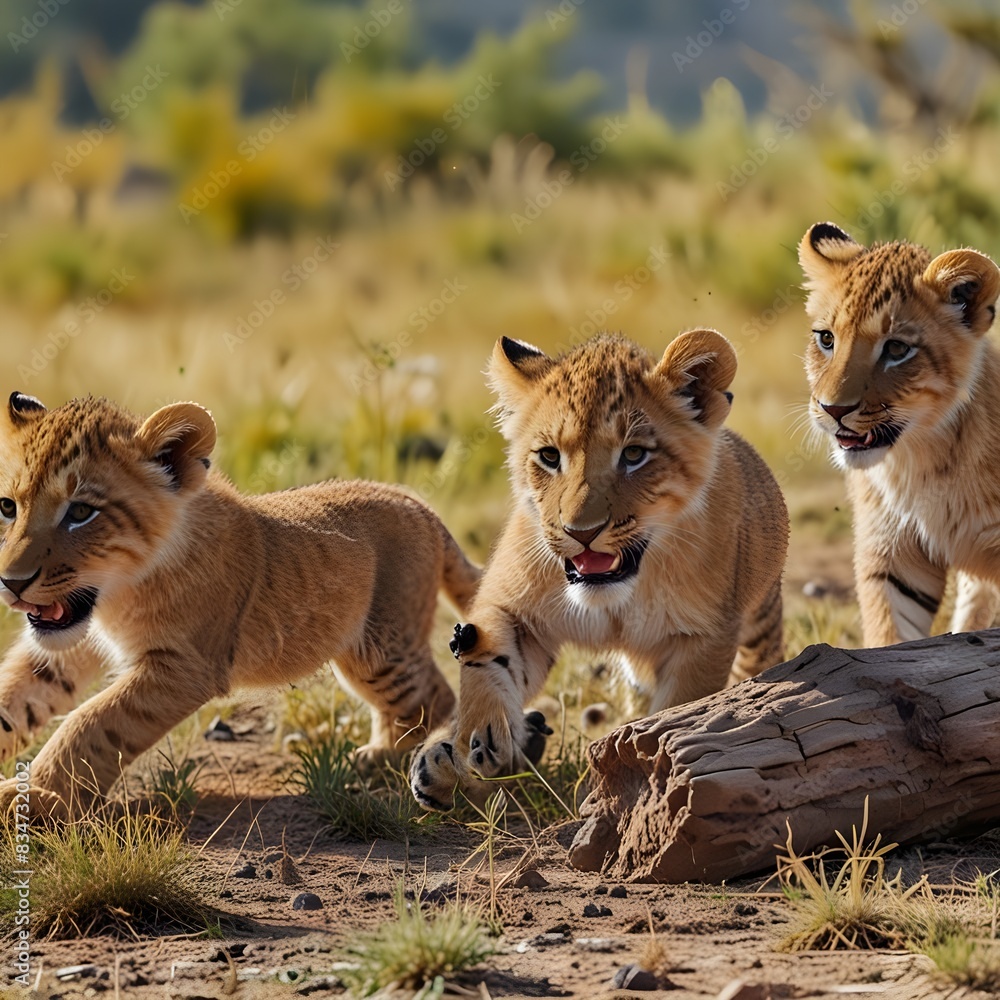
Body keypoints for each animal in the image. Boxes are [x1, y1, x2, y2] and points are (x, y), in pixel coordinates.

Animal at [0, 392, 479, 818]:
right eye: (8, 506)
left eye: (81, 512)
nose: (10, 582)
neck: (113, 598)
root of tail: (420, 503)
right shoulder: (70, 640)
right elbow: (19, 692)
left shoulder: (184, 667)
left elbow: (92, 725)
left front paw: (38, 800)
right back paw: (377, 753)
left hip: (381, 650)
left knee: (436, 695)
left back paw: (416, 764)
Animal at [409, 329, 789, 811]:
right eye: (549, 456)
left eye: (634, 454)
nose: (582, 532)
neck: (618, 597)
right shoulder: (517, 612)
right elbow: (486, 662)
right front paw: (481, 738)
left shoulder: (705, 638)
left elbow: (681, 708)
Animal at [799, 221, 1000, 645]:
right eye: (827, 339)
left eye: (896, 349)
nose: (833, 409)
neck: (922, 457)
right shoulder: (893, 557)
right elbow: (891, 637)